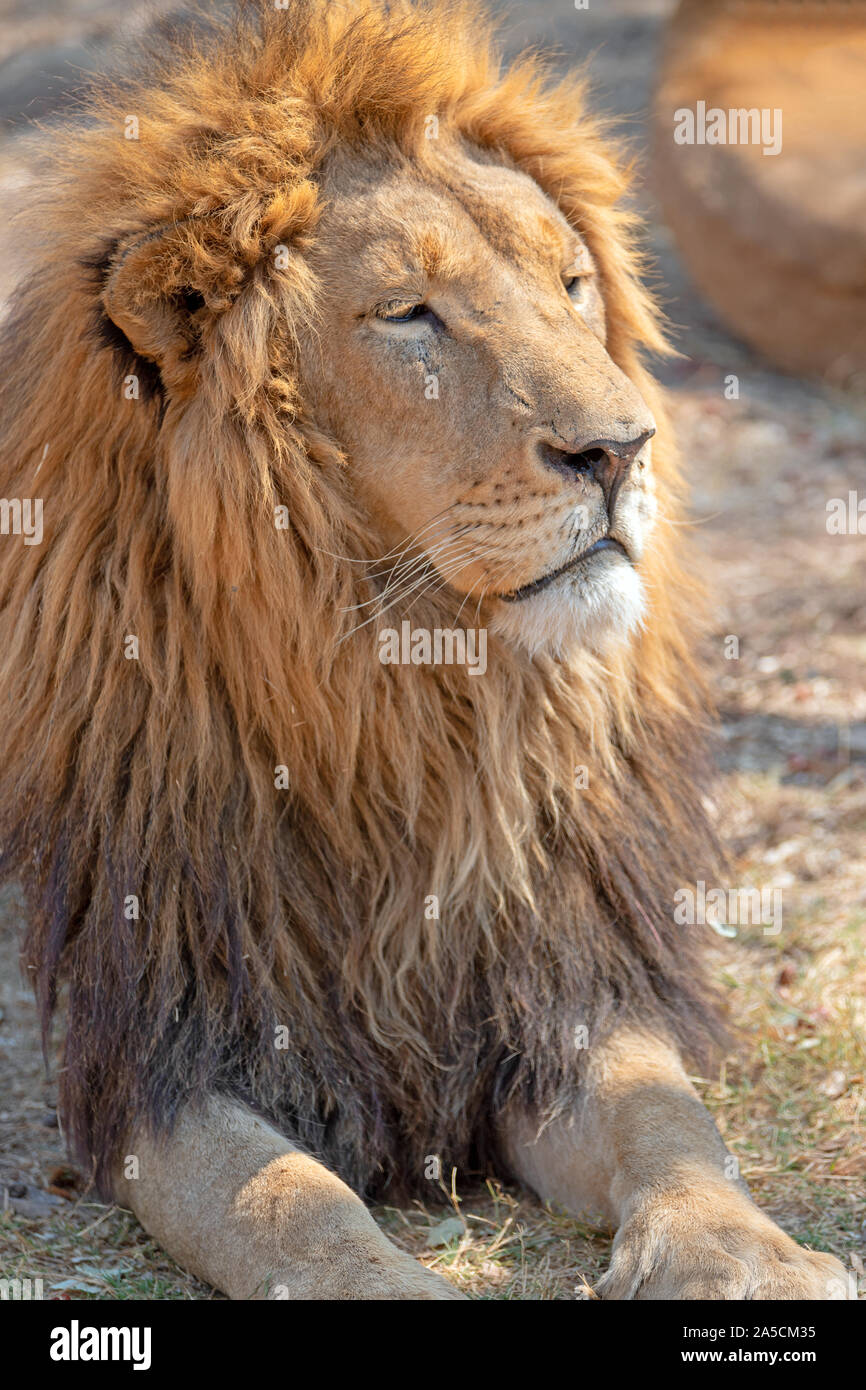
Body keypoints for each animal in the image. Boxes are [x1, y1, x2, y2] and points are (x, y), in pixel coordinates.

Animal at [0, 0, 849, 1300]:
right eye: (410, 314)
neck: (405, 700)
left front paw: (743, 1255)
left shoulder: (561, 982)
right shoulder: (163, 1050)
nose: (621, 448)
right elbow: (287, 1204)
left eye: (571, 284)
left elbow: (669, 1118)